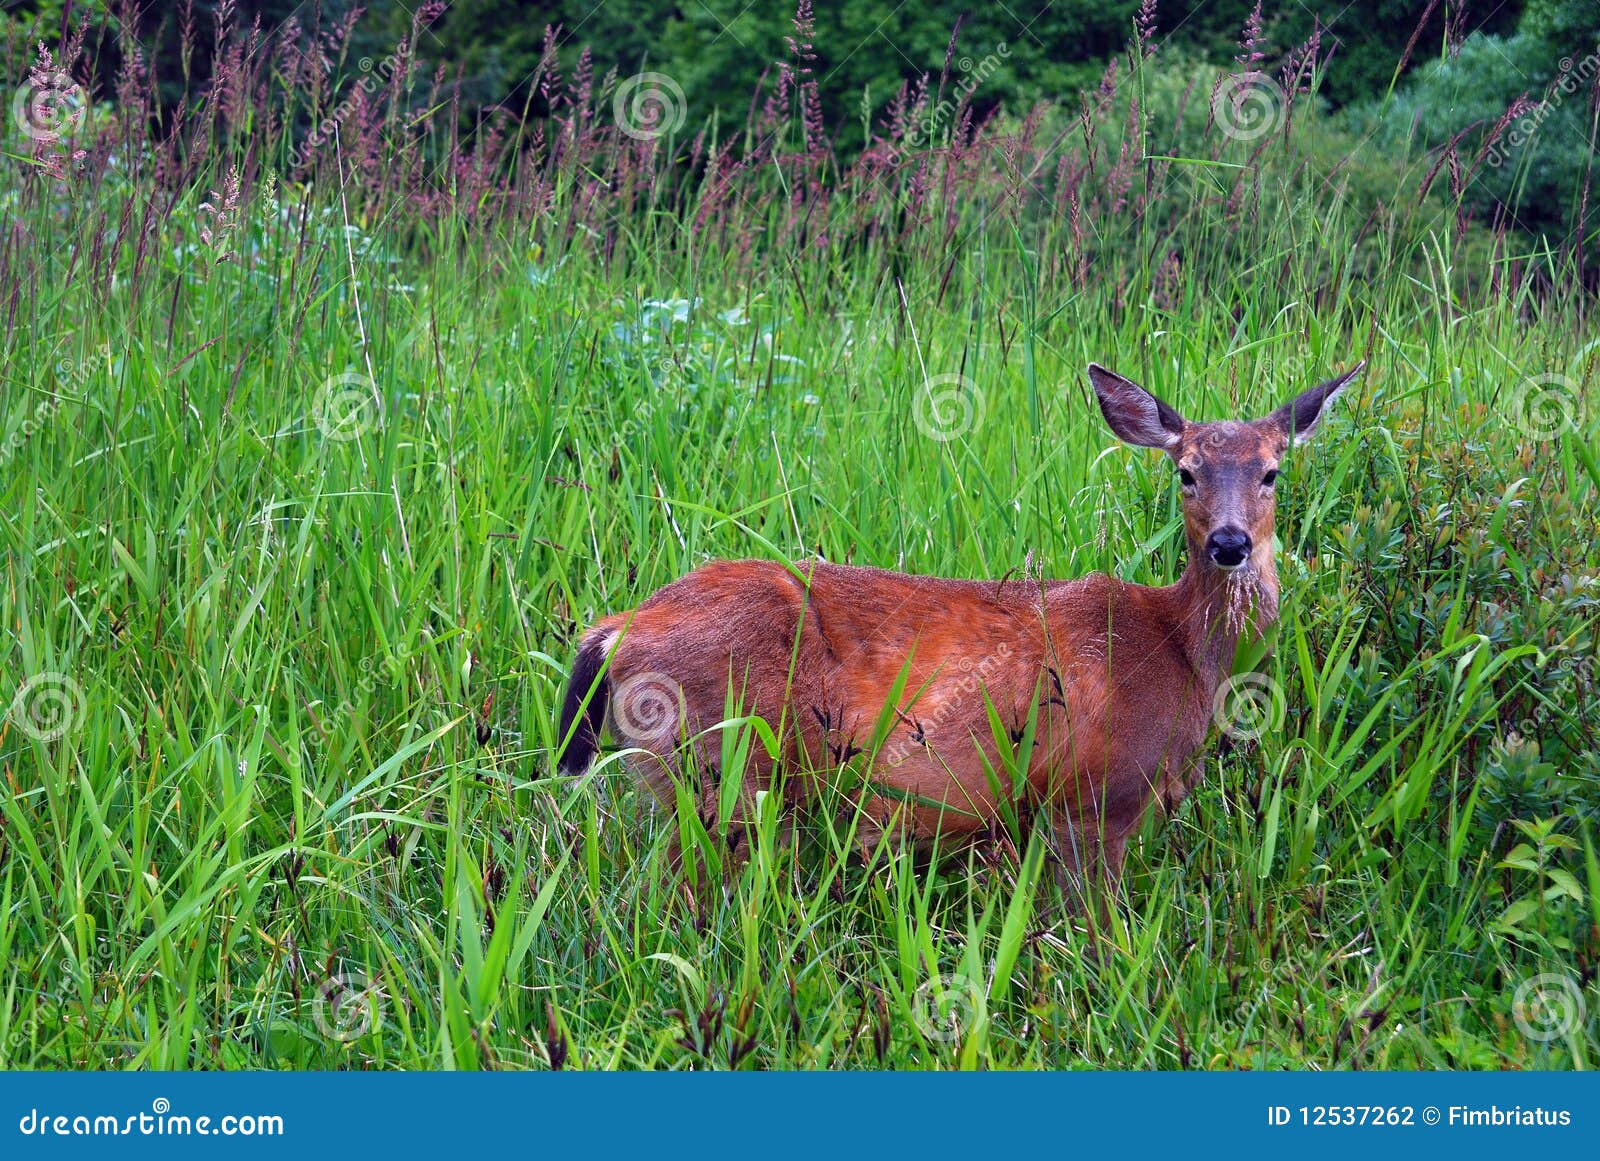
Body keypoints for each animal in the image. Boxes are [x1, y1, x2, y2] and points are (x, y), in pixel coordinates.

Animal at [556, 361, 1364, 901]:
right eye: (1186, 471)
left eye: (1271, 472)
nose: (1230, 544)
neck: (1185, 655)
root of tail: (613, 632)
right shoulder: (1098, 792)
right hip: (723, 762)